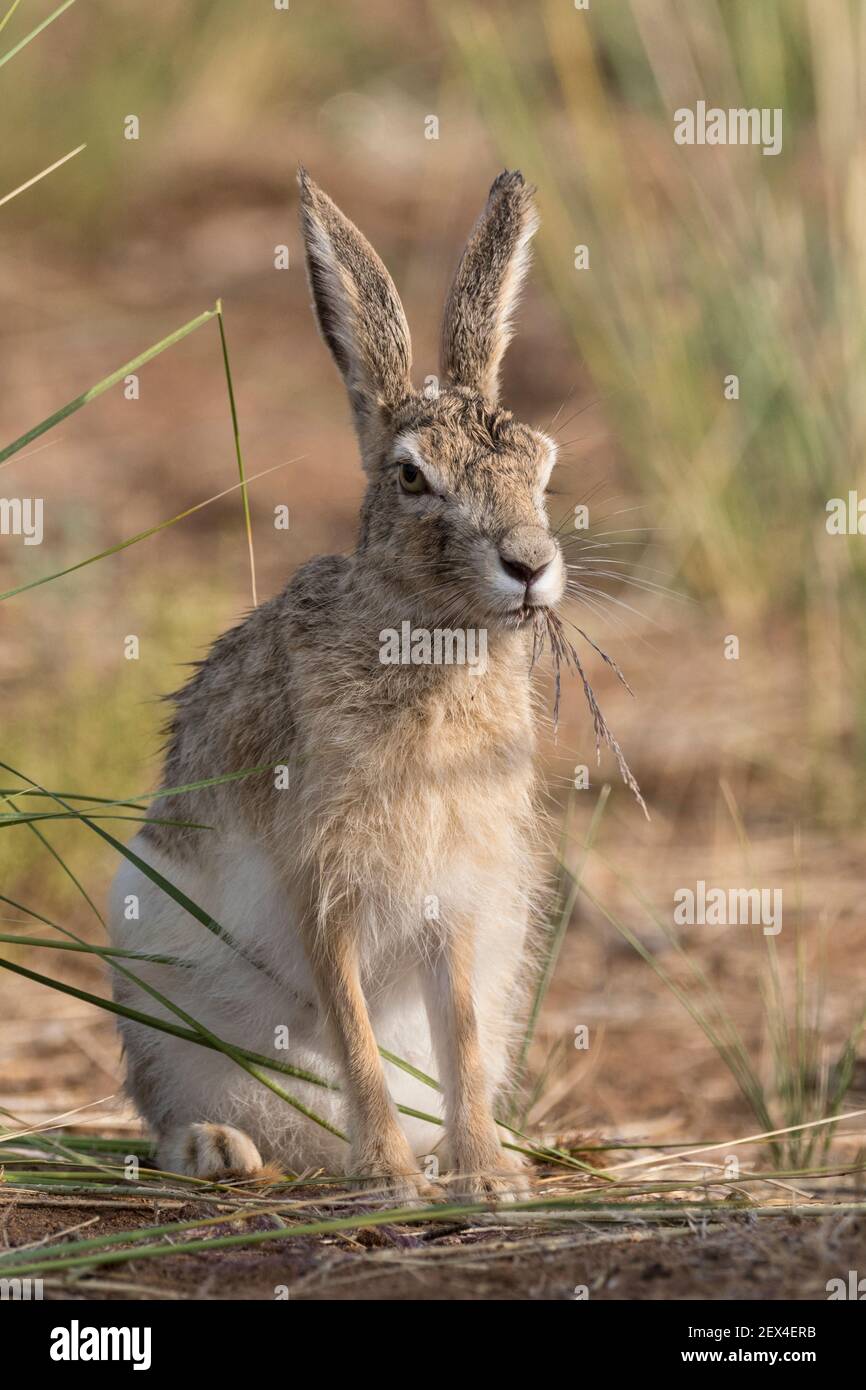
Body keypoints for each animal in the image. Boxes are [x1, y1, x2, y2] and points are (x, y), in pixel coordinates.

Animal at [108, 167, 565, 1203]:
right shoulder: (322, 884)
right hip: (155, 977)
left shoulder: (462, 902)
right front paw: (393, 1179)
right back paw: (223, 1150)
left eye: (543, 471)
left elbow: (460, 1033)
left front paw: (483, 1177)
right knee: (182, 1104)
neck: (429, 644)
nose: (529, 564)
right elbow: (354, 1033)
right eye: (412, 478)